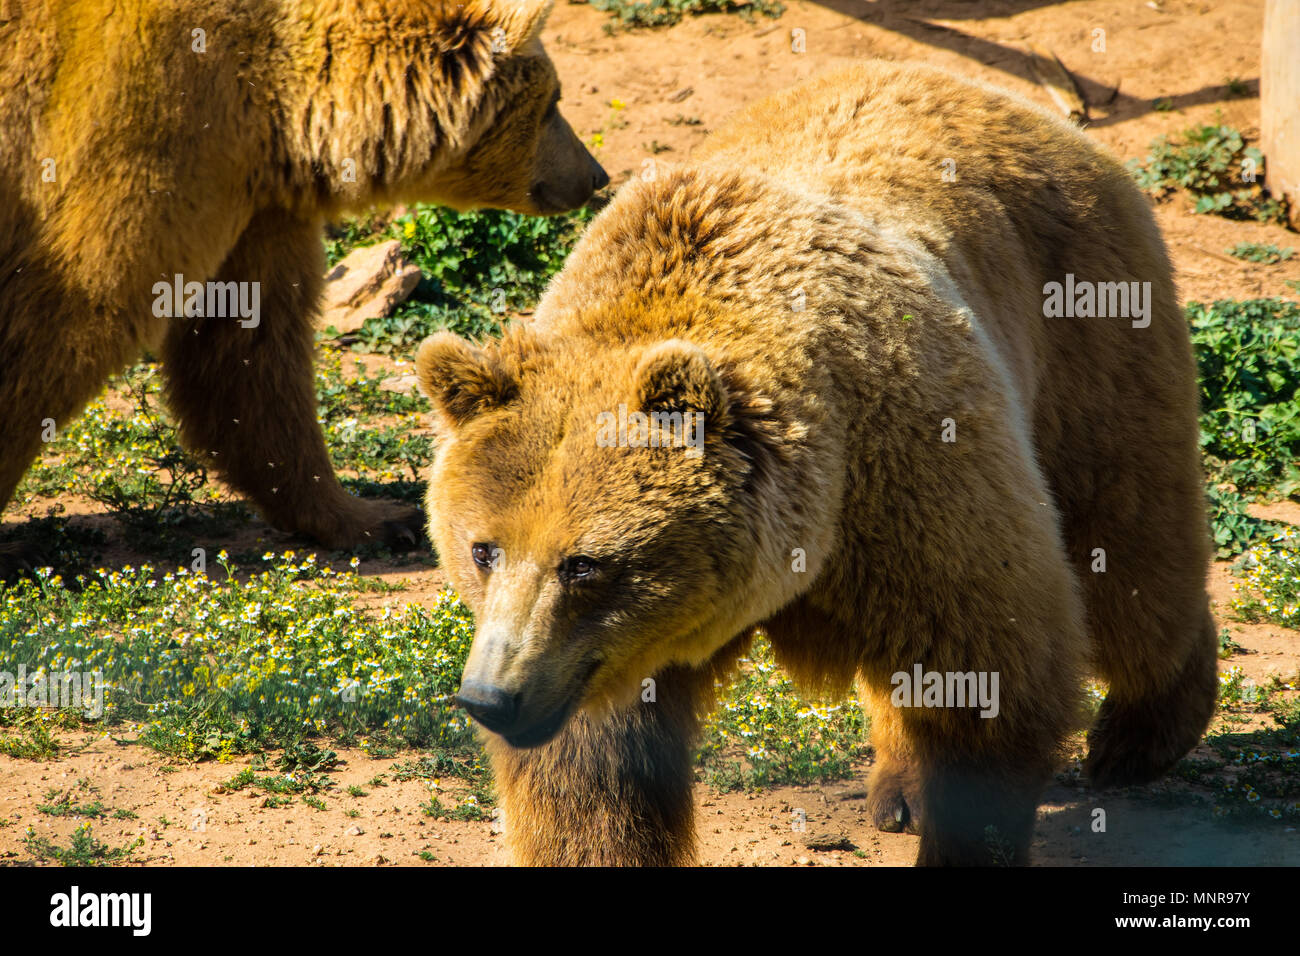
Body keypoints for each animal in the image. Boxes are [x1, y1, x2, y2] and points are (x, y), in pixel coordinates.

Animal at [0, 0, 606, 567]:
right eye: (553, 101)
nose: (596, 176)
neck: (277, 101)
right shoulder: (144, 132)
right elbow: (73, 315)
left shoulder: (254, 201)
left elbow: (250, 351)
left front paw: (372, 517)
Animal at [414, 60, 1219, 866]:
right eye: (482, 549)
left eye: (584, 563)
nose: (489, 698)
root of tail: (983, 90)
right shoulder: (600, 659)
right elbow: (592, 773)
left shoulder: (909, 473)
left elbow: (991, 670)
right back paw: (902, 785)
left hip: (1083, 331)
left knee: (1126, 545)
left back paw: (1144, 729)